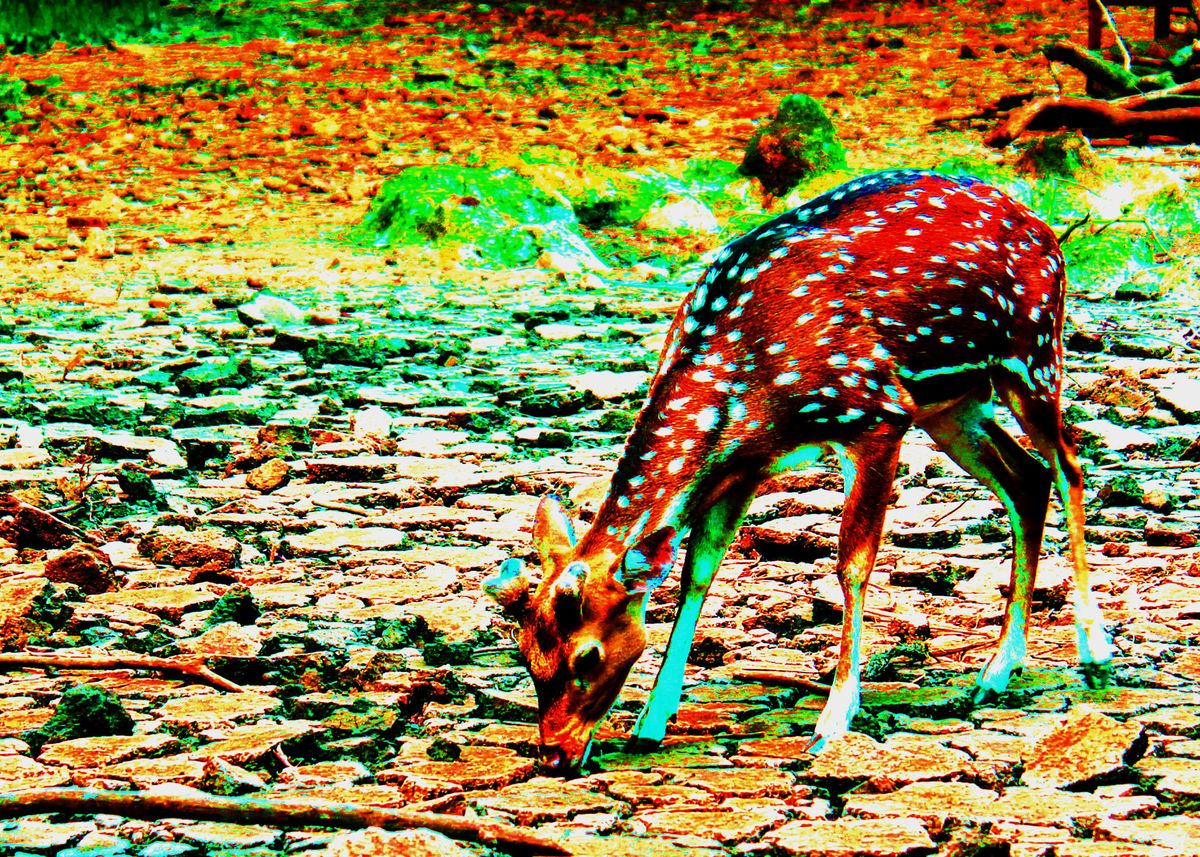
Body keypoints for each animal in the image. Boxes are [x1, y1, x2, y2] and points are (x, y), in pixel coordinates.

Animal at [483, 169, 1114, 772]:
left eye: (586, 655)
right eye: (526, 654)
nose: (554, 755)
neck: (752, 390)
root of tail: (1040, 224)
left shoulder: (877, 413)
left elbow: (851, 565)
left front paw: (835, 717)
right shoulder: (743, 463)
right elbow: (696, 574)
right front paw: (651, 721)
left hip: (1034, 353)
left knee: (1070, 465)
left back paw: (1092, 649)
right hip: (952, 405)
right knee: (1027, 479)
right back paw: (999, 669)